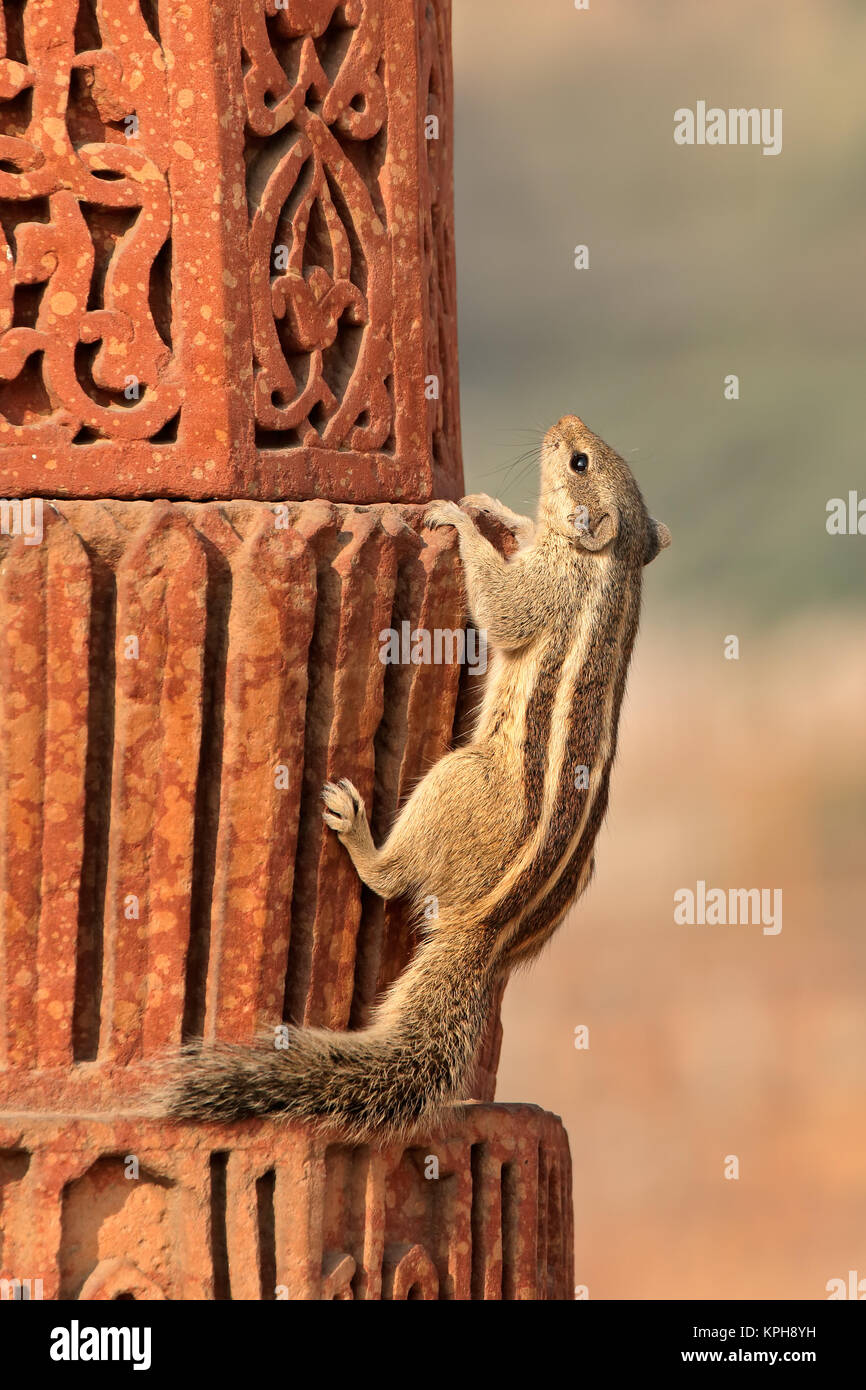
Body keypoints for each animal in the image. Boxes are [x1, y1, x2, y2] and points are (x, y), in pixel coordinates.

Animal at [160, 415, 670, 1141]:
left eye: (577, 461)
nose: (563, 422)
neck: (609, 562)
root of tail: (485, 933)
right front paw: (492, 509)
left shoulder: (542, 593)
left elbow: (502, 606)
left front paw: (458, 521)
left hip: (457, 781)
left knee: (390, 877)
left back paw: (359, 834)